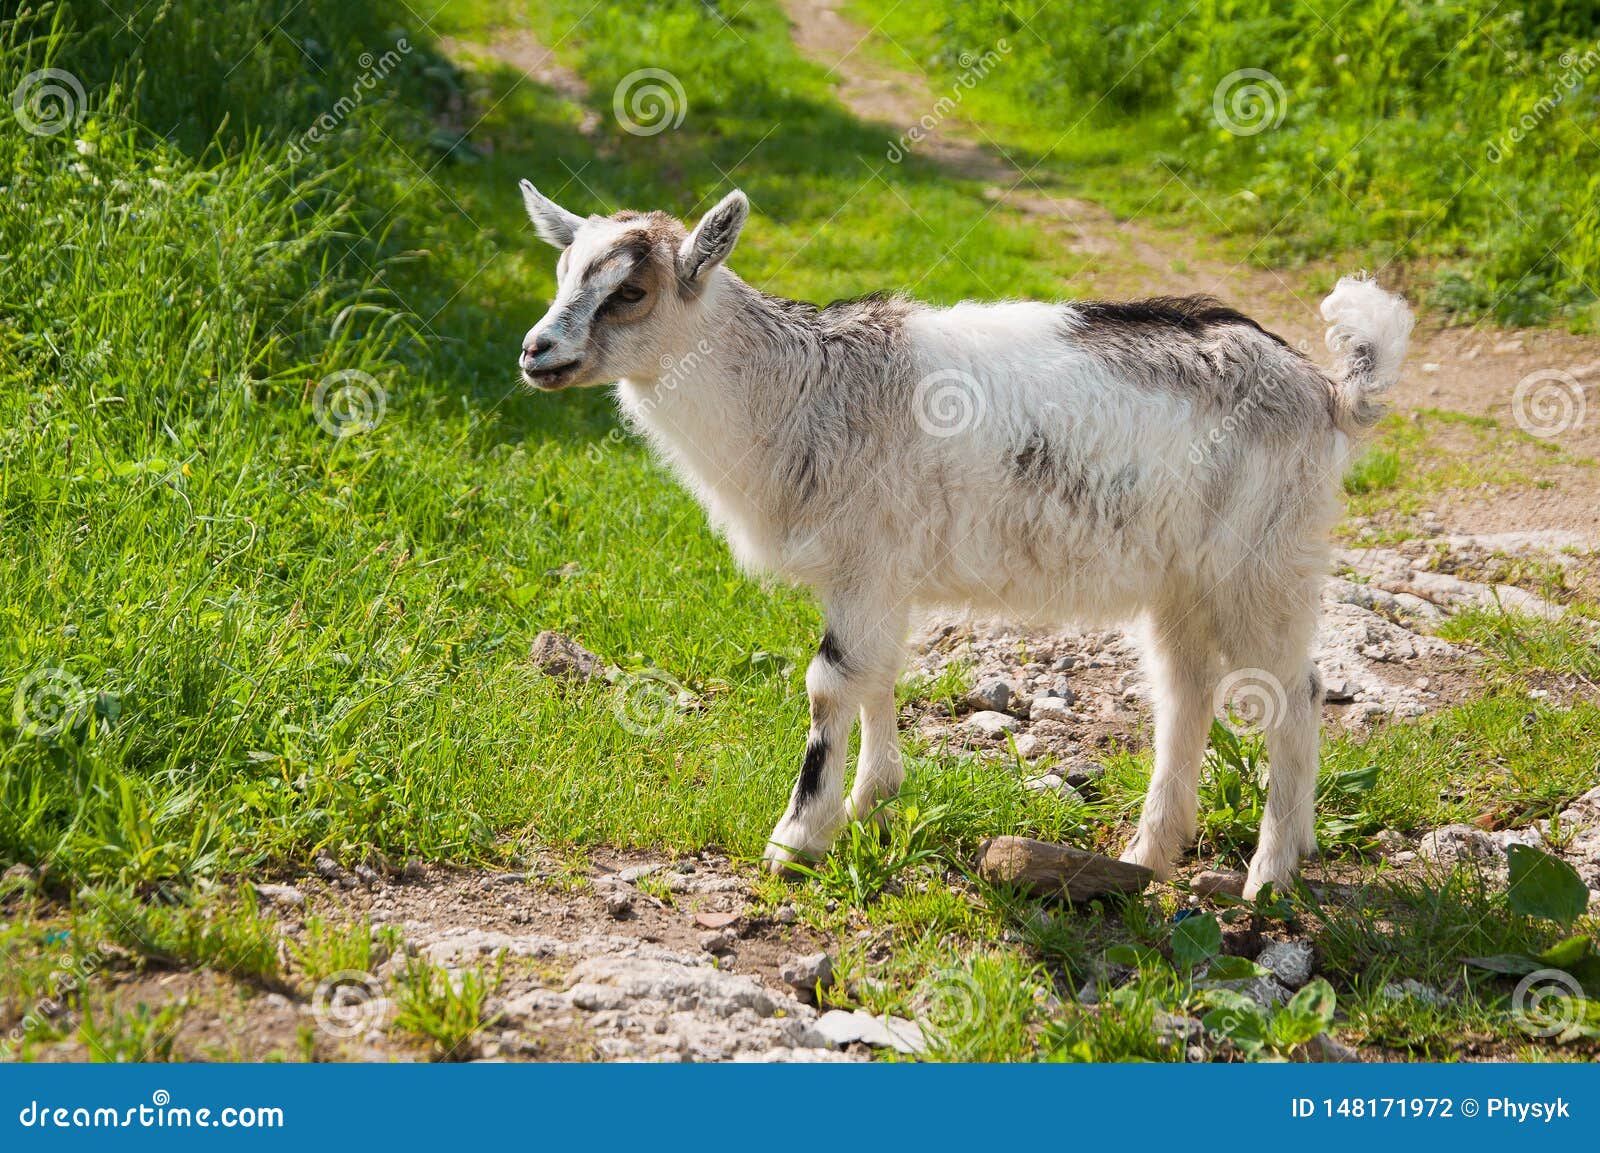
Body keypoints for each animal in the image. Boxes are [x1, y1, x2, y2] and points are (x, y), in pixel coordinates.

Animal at [514, 181, 1412, 898]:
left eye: (632, 289)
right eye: (561, 273)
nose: (535, 351)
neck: (799, 386)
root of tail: (1328, 391)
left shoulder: (870, 559)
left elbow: (829, 684)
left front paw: (797, 838)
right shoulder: (874, 574)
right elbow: (875, 674)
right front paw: (873, 802)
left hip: (1262, 563)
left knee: (1292, 694)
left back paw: (1270, 875)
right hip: (1182, 581)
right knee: (1186, 693)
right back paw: (1150, 854)